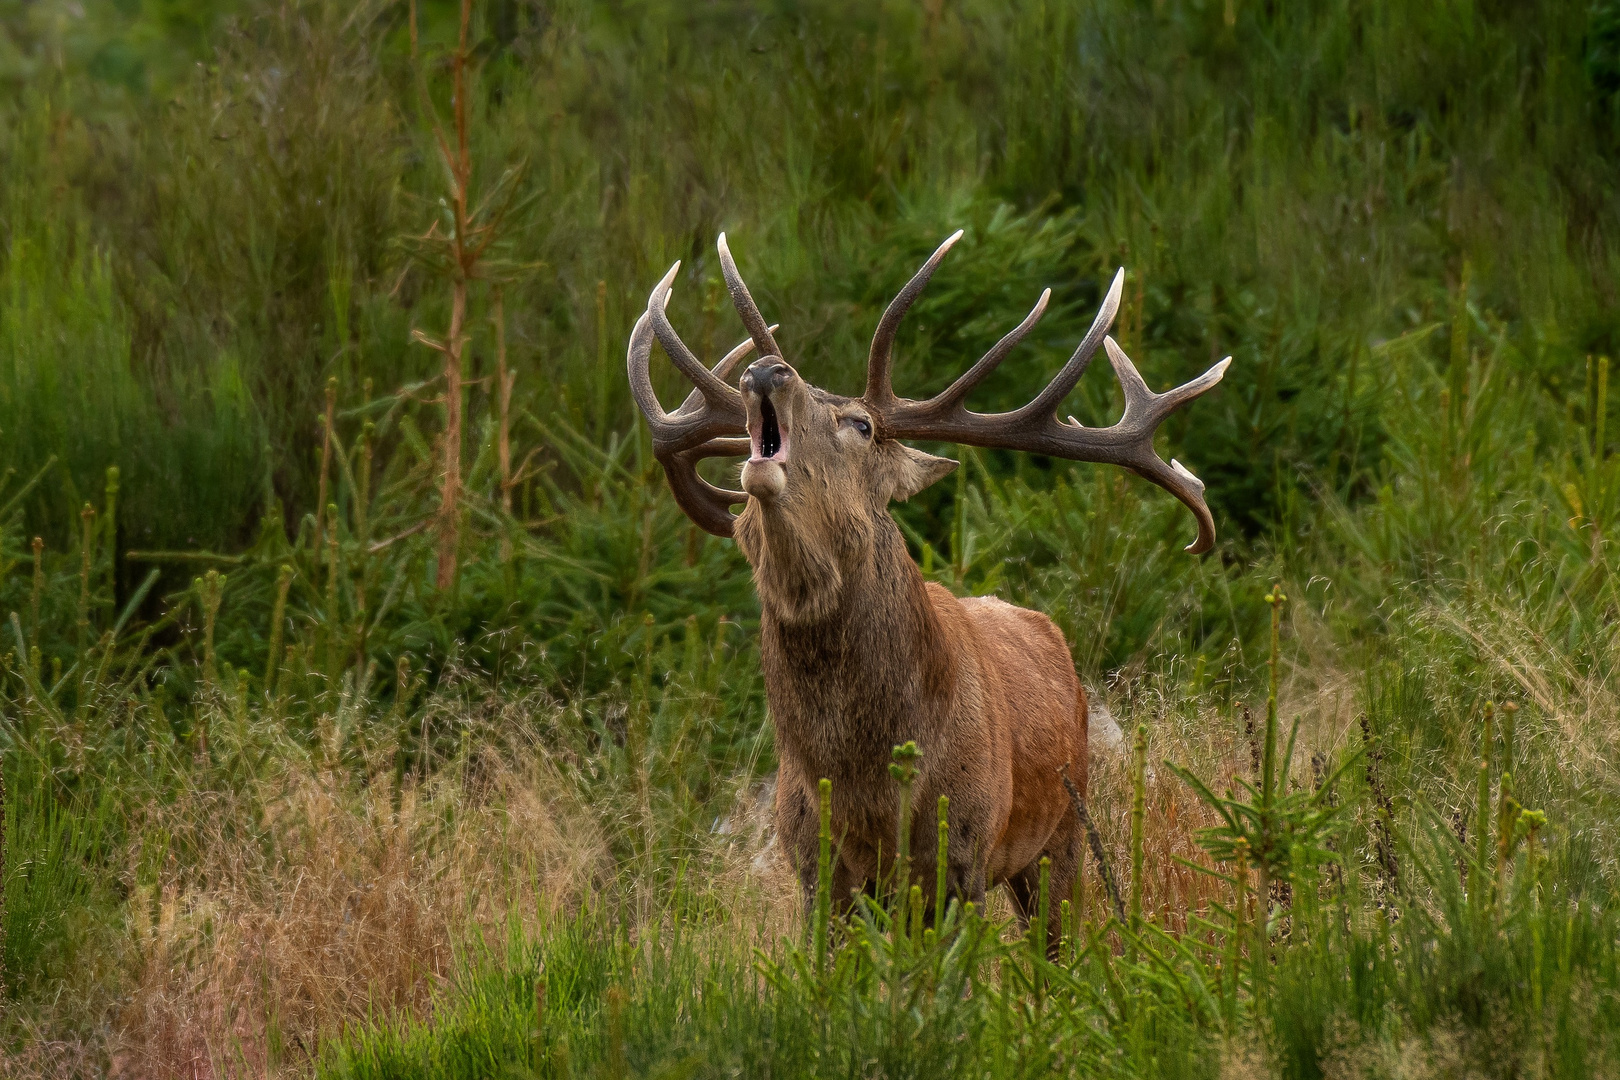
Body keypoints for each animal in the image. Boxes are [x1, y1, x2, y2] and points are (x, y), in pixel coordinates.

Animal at [622, 233, 1224, 939]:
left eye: (861, 425)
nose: (768, 370)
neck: (868, 786)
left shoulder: (962, 850)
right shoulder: (812, 866)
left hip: (1065, 832)